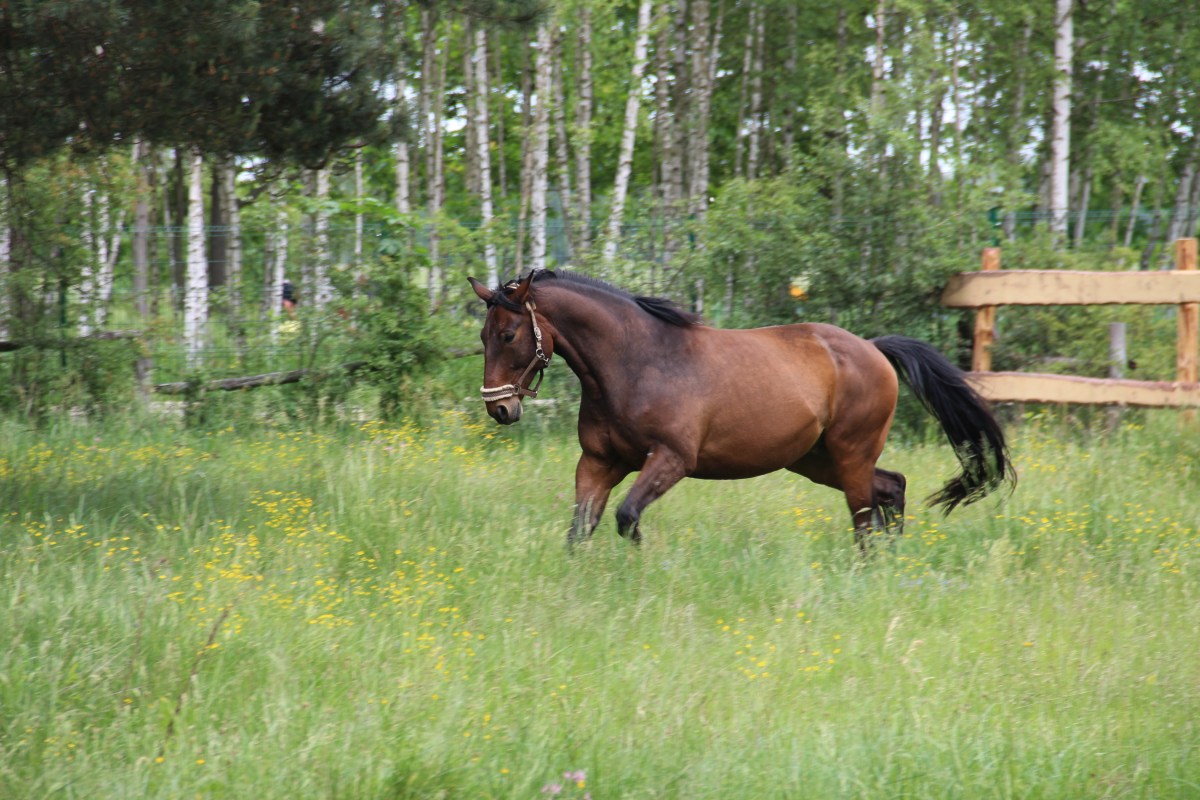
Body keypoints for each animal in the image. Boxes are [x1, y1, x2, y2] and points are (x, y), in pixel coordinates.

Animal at [468, 269, 1014, 550]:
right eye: (483, 335)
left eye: (509, 335)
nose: (500, 409)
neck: (637, 362)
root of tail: (874, 349)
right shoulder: (599, 462)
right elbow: (580, 530)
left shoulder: (671, 460)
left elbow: (627, 516)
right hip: (817, 460)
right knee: (891, 488)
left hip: (849, 454)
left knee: (865, 515)